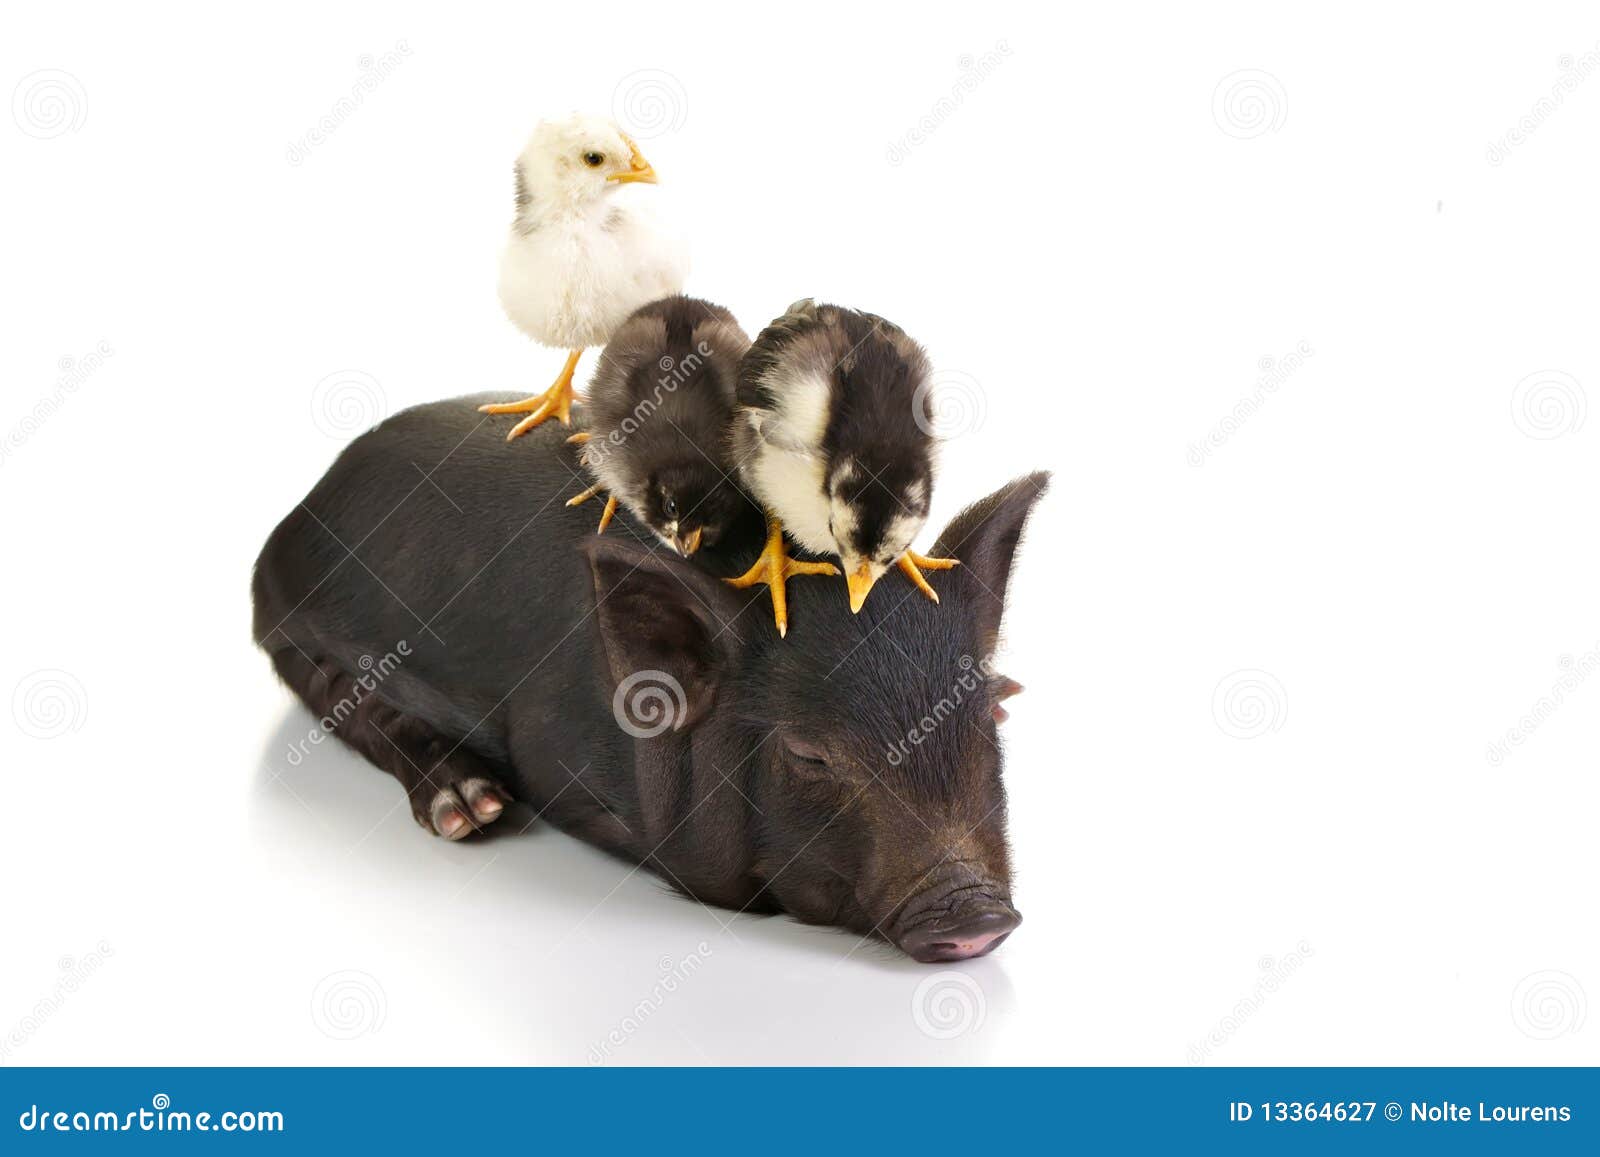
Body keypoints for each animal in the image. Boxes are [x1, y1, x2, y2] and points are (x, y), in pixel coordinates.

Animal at [251, 396, 1048, 962]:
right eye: (809, 755)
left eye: (991, 714)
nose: (977, 913)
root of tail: (300, 509)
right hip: (298, 634)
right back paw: (469, 809)